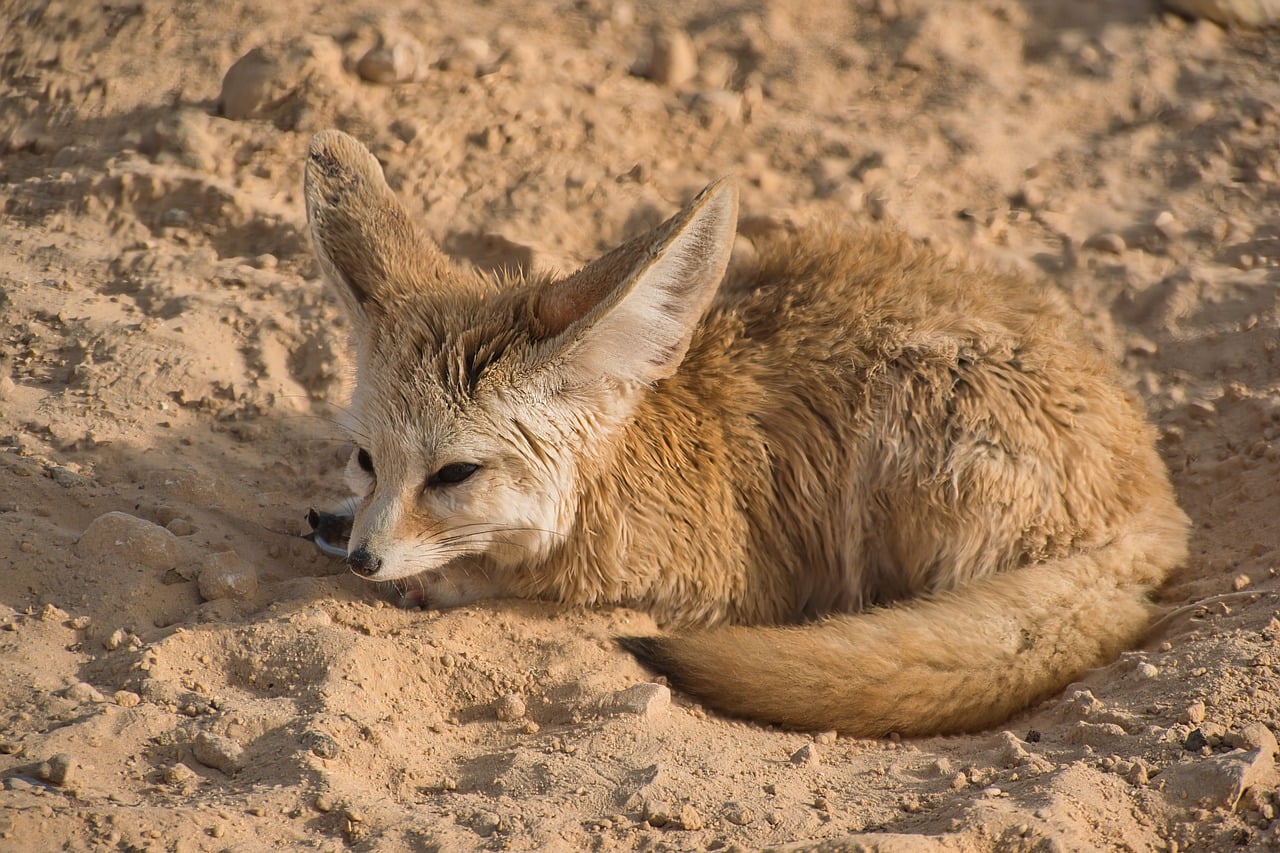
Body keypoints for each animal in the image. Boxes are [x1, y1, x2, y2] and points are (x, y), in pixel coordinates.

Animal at [302, 129, 1190, 738]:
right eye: (365, 460)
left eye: (455, 474)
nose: (362, 557)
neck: (627, 469)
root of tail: (1157, 504)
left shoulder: (716, 581)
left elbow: (528, 584)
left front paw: (447, 576)